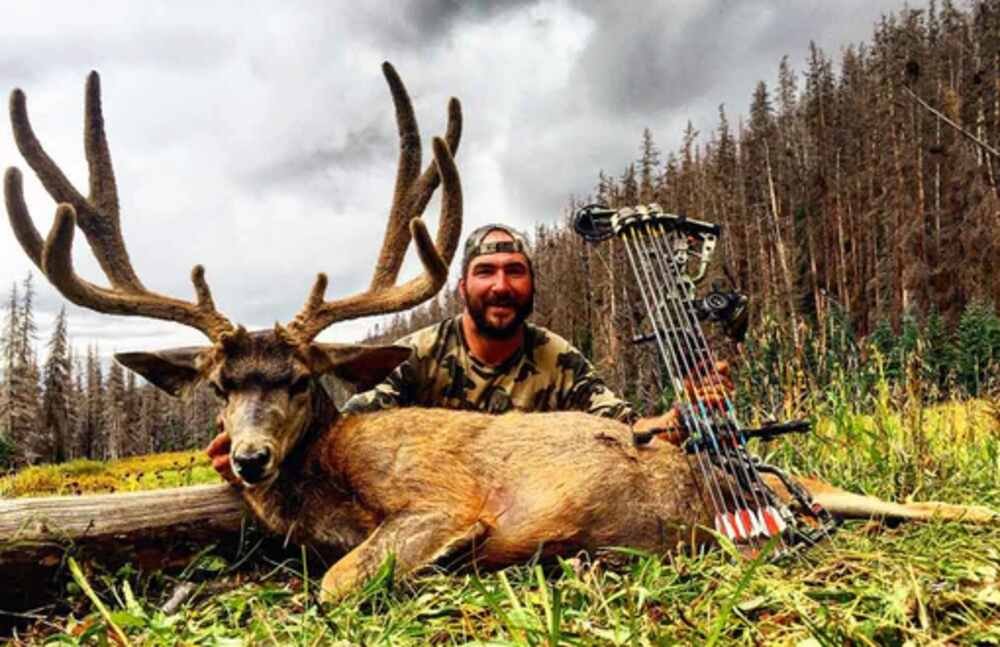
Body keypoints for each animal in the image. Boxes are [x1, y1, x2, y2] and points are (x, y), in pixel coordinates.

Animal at [5, 65, 997, 604]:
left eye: (297, 377)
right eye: (221, 383)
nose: (246, 456)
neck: (326, 485)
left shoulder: (444, 500)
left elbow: (339, 581)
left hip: (828, 488)